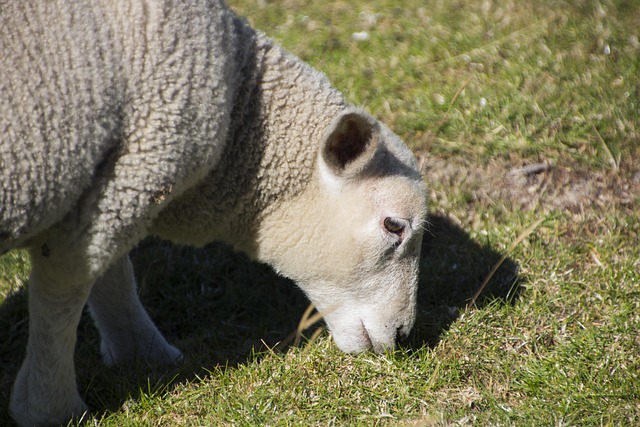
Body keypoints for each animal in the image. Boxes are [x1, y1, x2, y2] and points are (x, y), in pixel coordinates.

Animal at [0, 0, 428, 425]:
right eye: (394, 226)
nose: (402, 337)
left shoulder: (111, 182)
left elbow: (111, 275)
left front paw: (141, 353)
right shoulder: (133, 169)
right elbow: (67, 287)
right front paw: (49, 406)